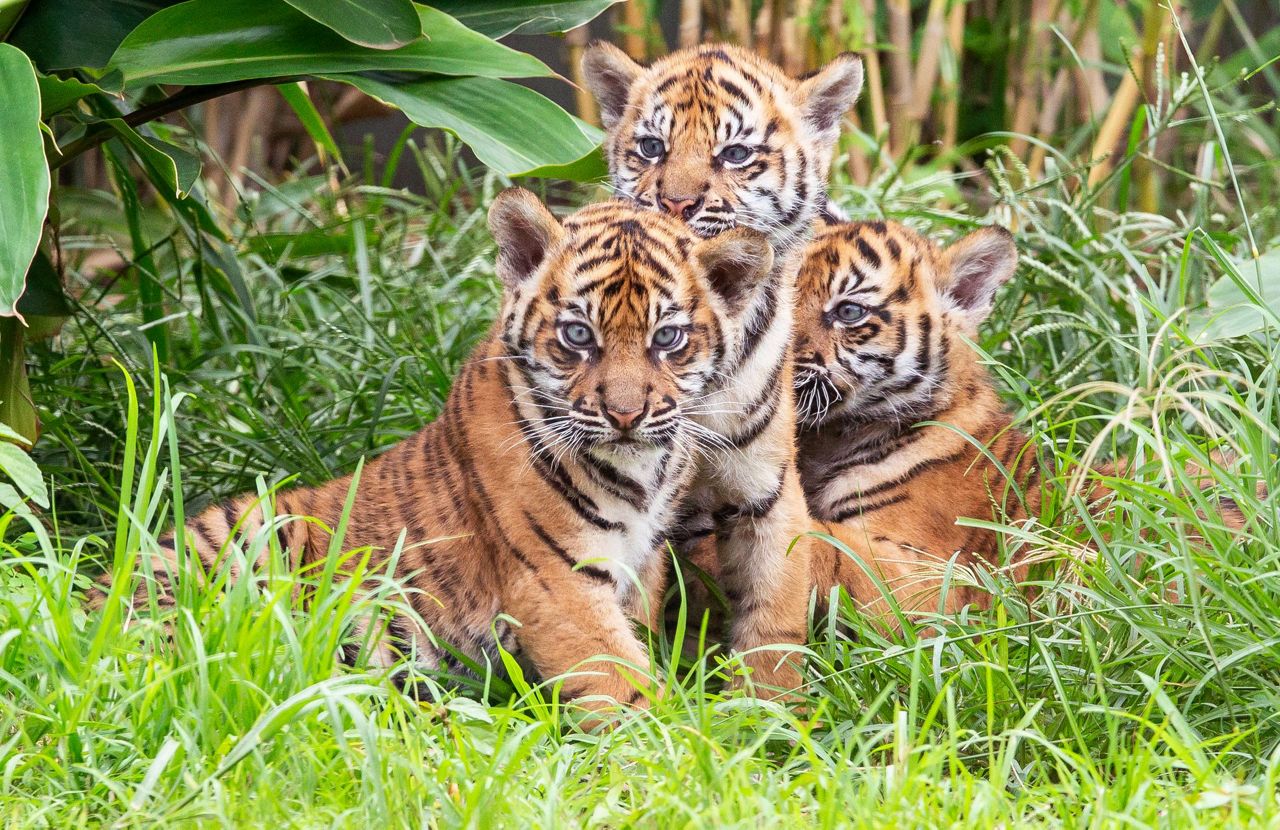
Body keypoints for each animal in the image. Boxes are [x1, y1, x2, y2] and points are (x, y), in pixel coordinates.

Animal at [91, 189, 778, 715]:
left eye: (669, 339)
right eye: (578, 335)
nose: (626, 415)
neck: (642, 470)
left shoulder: (639, 566)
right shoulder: (557, 581)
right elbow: (623, 683)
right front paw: (682, 751)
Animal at [581, 42, 864, 691]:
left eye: (734, 153)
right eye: (651, 147)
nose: (675, 202)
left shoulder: (765, 486)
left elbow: (773, 612)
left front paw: (767, 706)